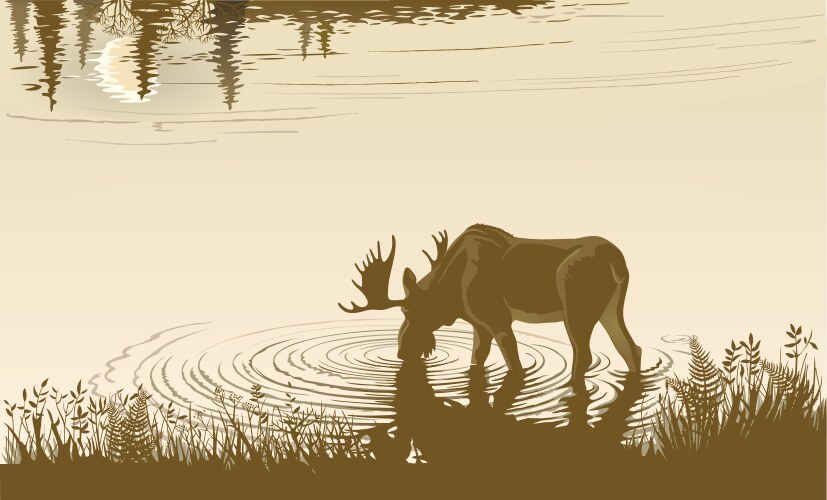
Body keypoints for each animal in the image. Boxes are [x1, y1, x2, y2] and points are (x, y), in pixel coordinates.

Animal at [338, 224, 642, 383]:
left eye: (407, 310)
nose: (402, 352)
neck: (451, 296)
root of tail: (616, 260)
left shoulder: (498, 319)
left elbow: (515, 365)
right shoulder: (479, 325)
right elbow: (477, 359)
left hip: (577, 308)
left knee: (584, 354)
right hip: (610, 309)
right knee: (630, 348)